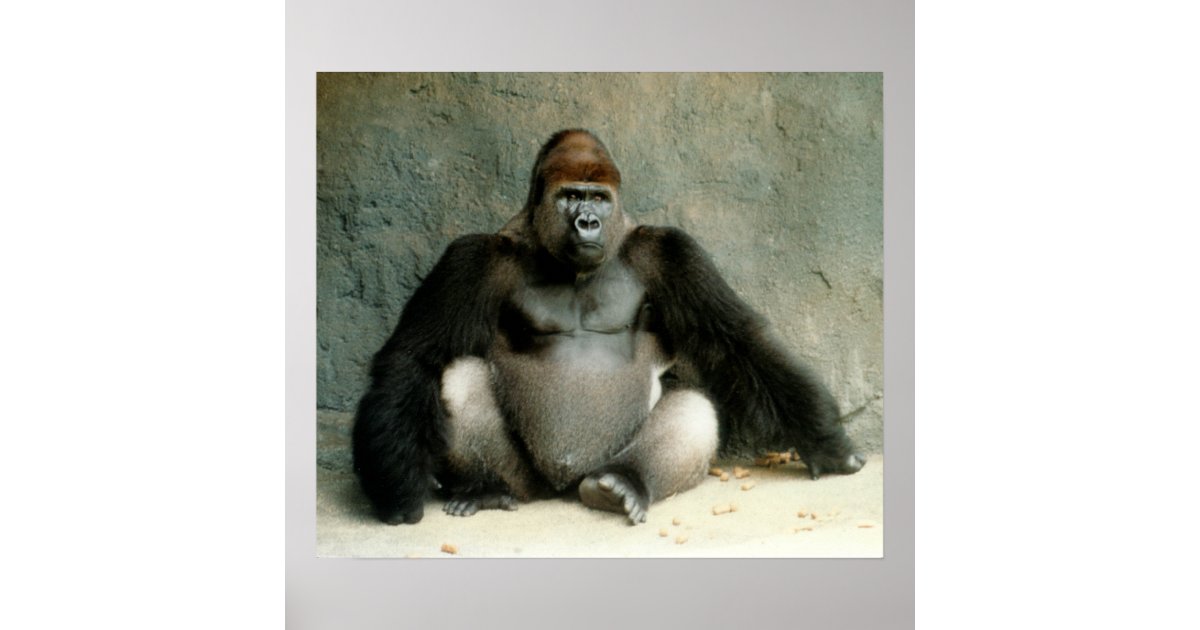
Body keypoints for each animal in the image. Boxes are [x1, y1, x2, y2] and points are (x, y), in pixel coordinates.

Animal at [351, 129, 865, 526]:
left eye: (598, 198)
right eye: (570, 196)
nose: (587, 222)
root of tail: (564, 486)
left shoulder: (672, 252)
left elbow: (737, 338)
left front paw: (825, 441)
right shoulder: (473, 257)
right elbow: (415, 355)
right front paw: (397, 488)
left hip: (603, 461)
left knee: (693, 408)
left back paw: (622, 484)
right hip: (530, 480)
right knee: (456, 380)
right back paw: (487, 488)